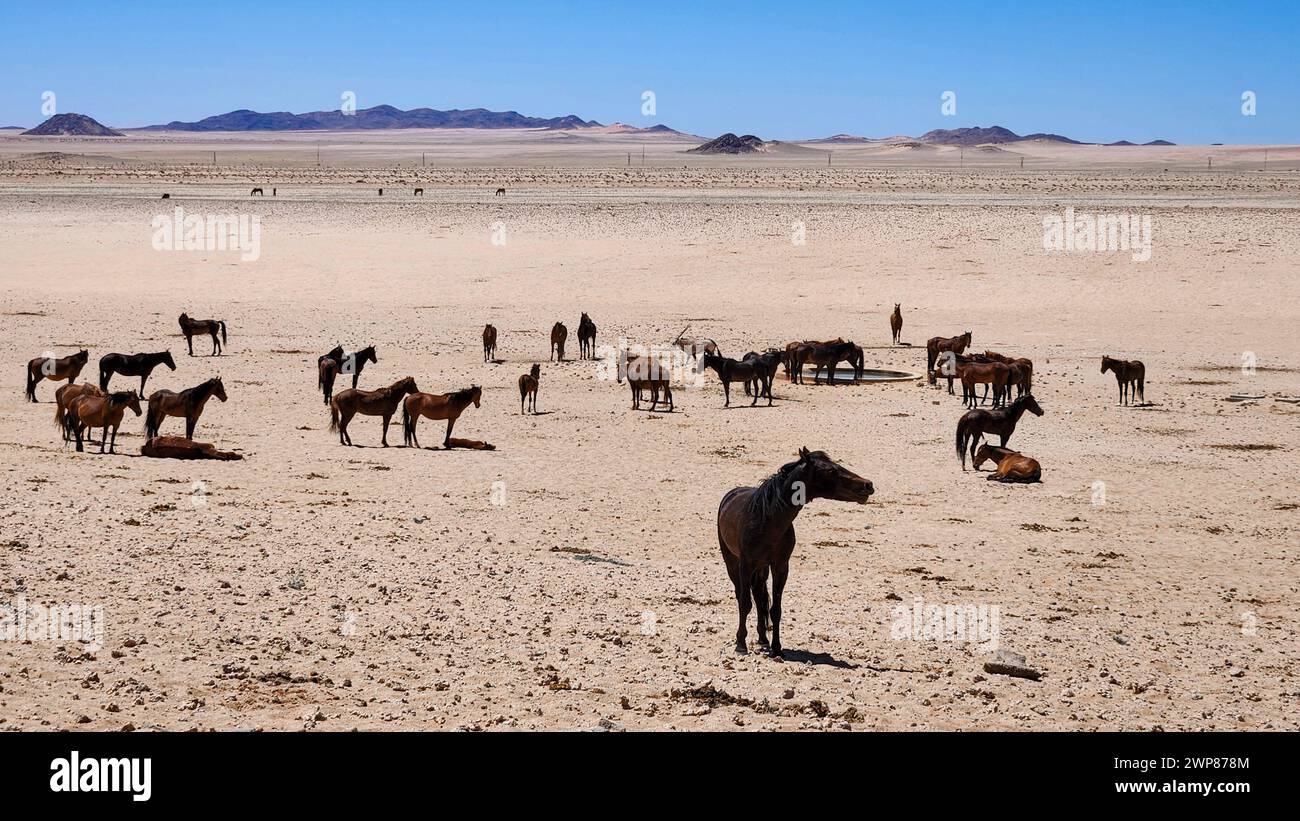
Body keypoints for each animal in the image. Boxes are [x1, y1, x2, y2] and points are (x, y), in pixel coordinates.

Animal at [717, 448, 874, 656]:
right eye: (831, 471)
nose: (868, 484)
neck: (767, 520)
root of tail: (731, 494)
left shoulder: (780, 567)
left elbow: (775, 609)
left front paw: (776, 648)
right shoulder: (746, 565)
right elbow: (744, 602)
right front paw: (740, 644)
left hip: (761, 569)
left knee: (759, 597)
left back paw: (763, 639)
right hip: (732, 563)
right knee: (744, 595)